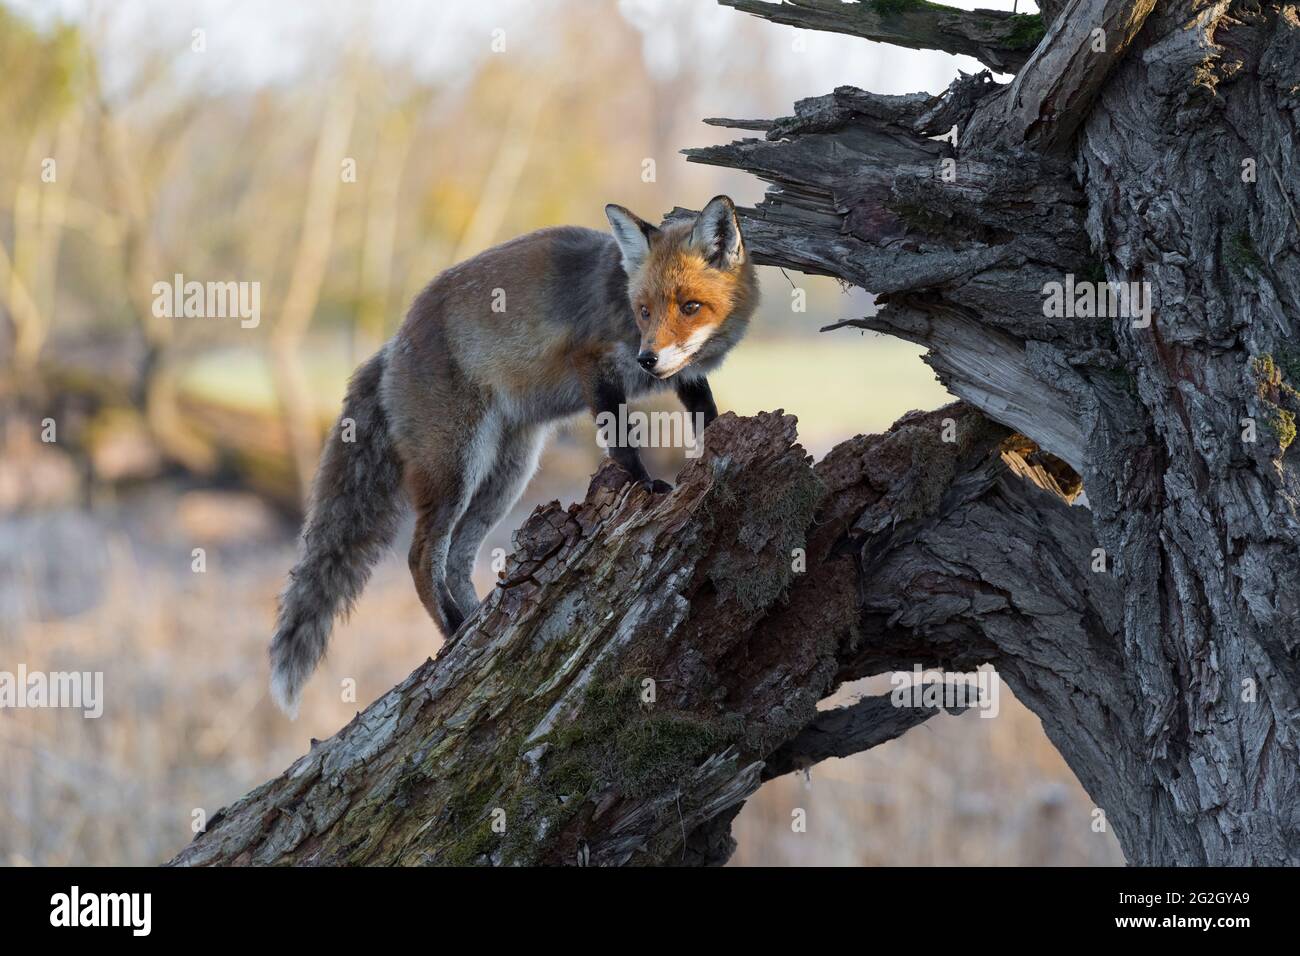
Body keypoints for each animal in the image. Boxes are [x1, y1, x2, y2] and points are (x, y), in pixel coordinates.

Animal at [268, 195, 759, 716]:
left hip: (508, 474)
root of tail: (391, 345)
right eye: (643, 311)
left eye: (690, 307)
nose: (648, 358)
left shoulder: (683, 376)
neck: (620, 298)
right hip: (457, 468)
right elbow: (621, 439)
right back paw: (454, 630)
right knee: (422, 558)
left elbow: (705, 413)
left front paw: (717, 438)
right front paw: (643, 482)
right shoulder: (593, 361)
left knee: (457, 559)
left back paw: (479, 627)